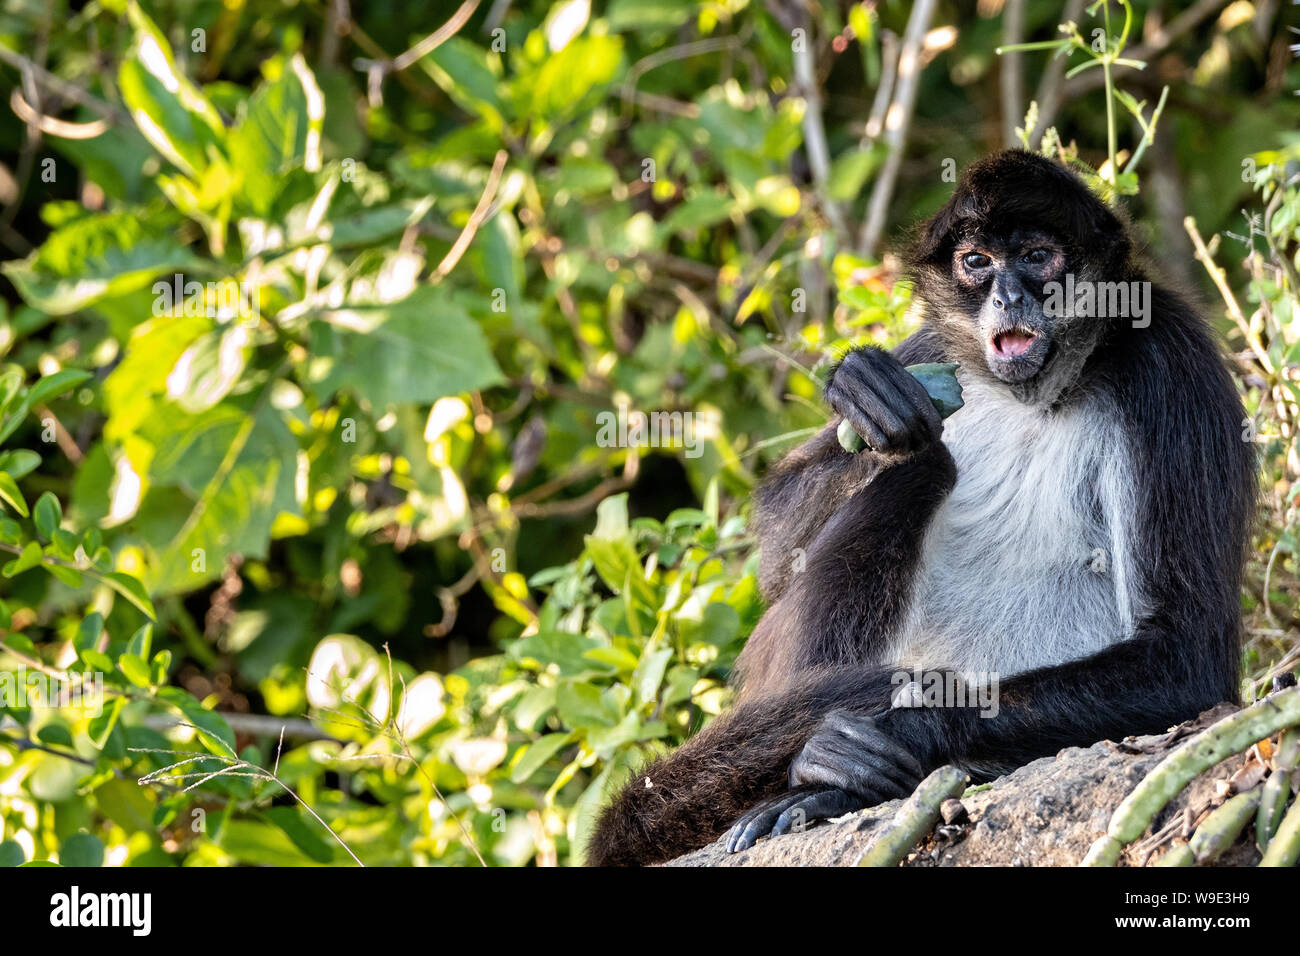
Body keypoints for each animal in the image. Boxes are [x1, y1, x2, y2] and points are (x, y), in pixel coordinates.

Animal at [585, 149, 1258, 867]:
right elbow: (772, 550)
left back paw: (834, 784)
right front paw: (864, 395)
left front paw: (889, 740)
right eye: (977, 261)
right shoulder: (932, 350)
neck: (1043, 394)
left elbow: (1187, 658)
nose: (1008, 296)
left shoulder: (1170, 363)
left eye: (1038, 256)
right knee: (918, 467)